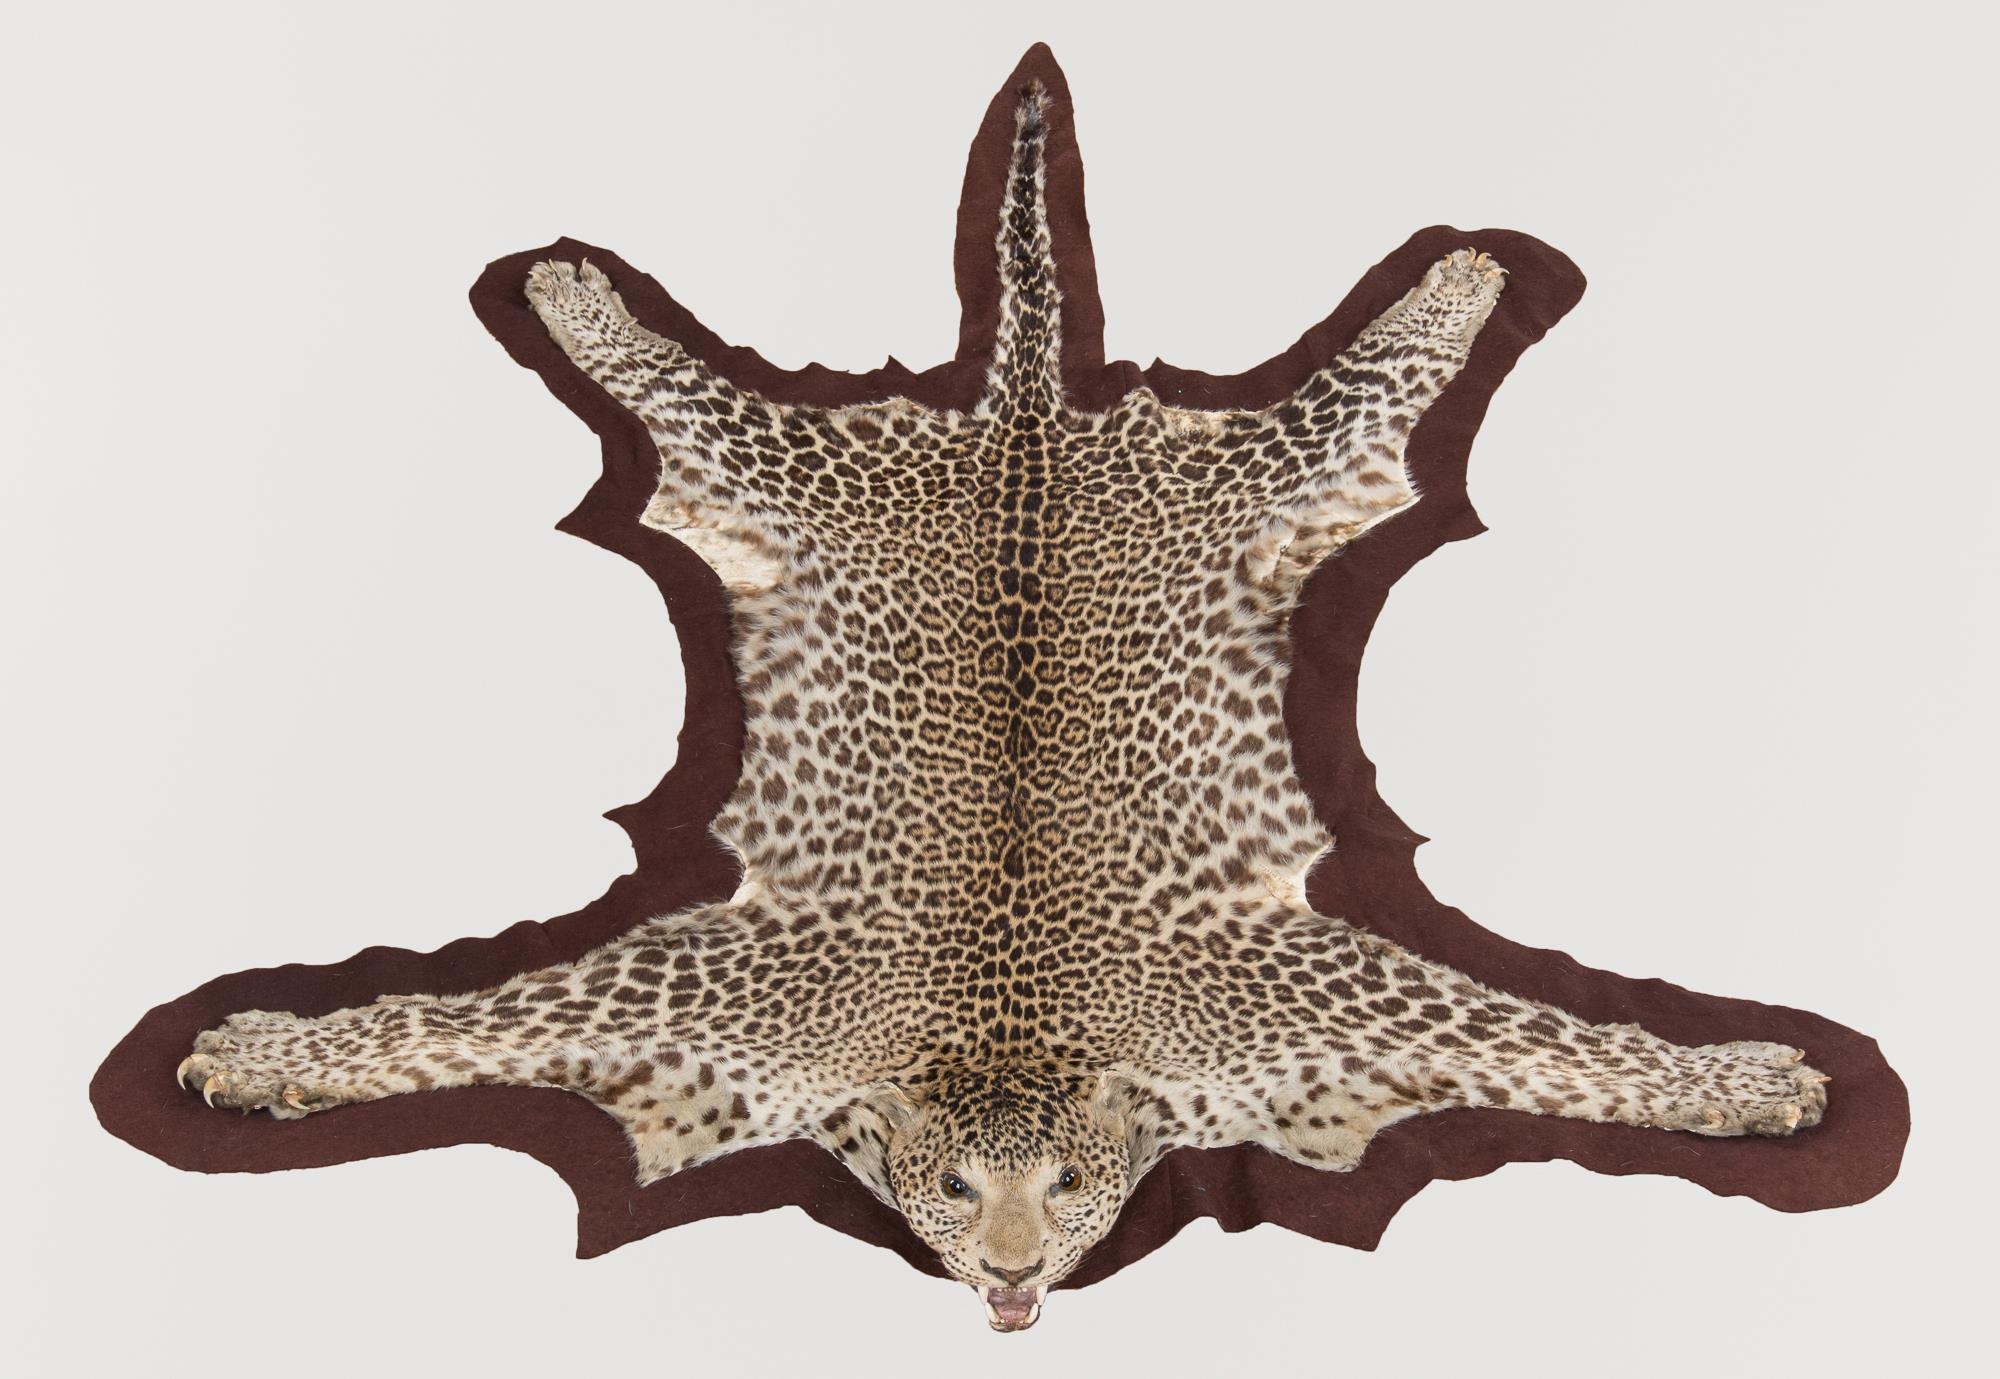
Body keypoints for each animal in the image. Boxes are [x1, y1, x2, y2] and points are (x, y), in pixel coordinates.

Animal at [174, 82, 1828, 1333]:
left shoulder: (1310, 1003)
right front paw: (264, 1050)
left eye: (1071, 1185)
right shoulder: (706, 999)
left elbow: (1559, 1042)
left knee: (1360, 382)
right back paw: (571, 284)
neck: (1008, 1038)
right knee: (677, 384)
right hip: (771, 478)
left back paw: (1463, 274)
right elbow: (464, 1014)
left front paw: (1746, 1072)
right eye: (961, 1187)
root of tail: (1025, 424)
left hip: (1263, 489)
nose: (1015, 1264)